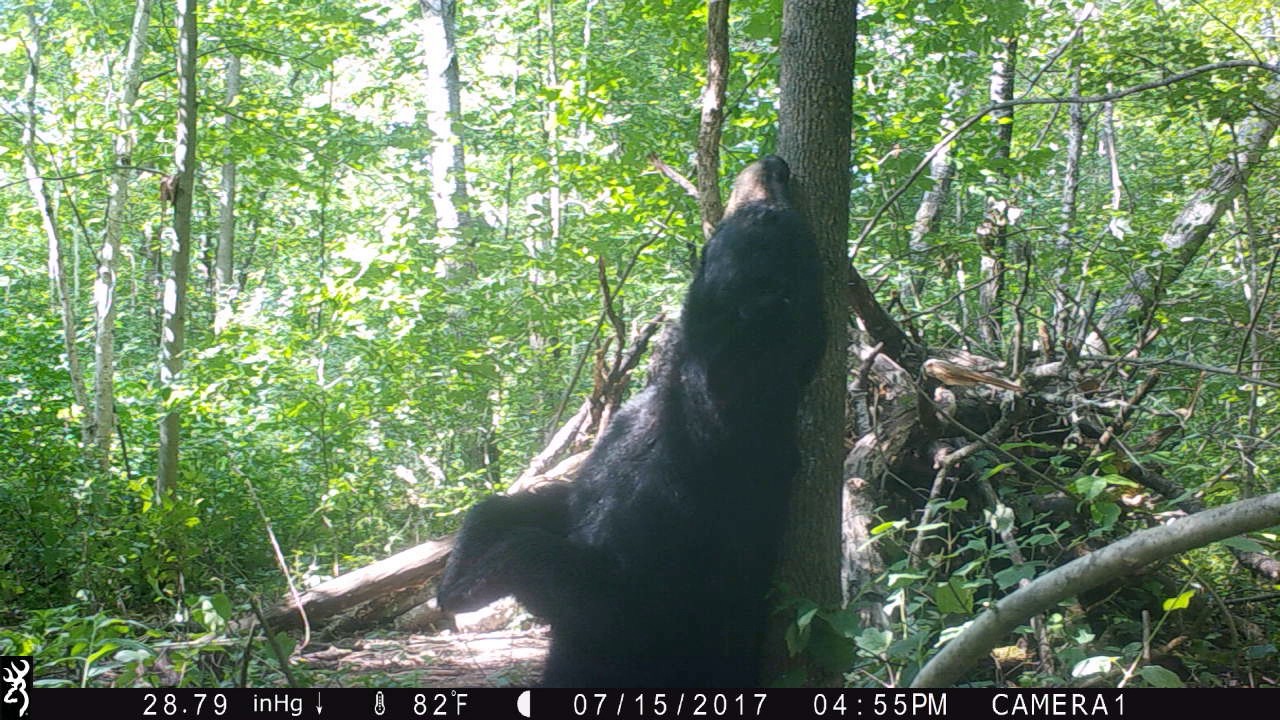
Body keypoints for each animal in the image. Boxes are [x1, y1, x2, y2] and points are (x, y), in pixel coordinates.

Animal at [436, 155, 825, 687]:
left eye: (763, 219)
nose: (774, 164)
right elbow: (529, 504)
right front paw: (454, 574)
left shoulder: (671, 535)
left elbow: (590, 587)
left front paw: (470, 588)